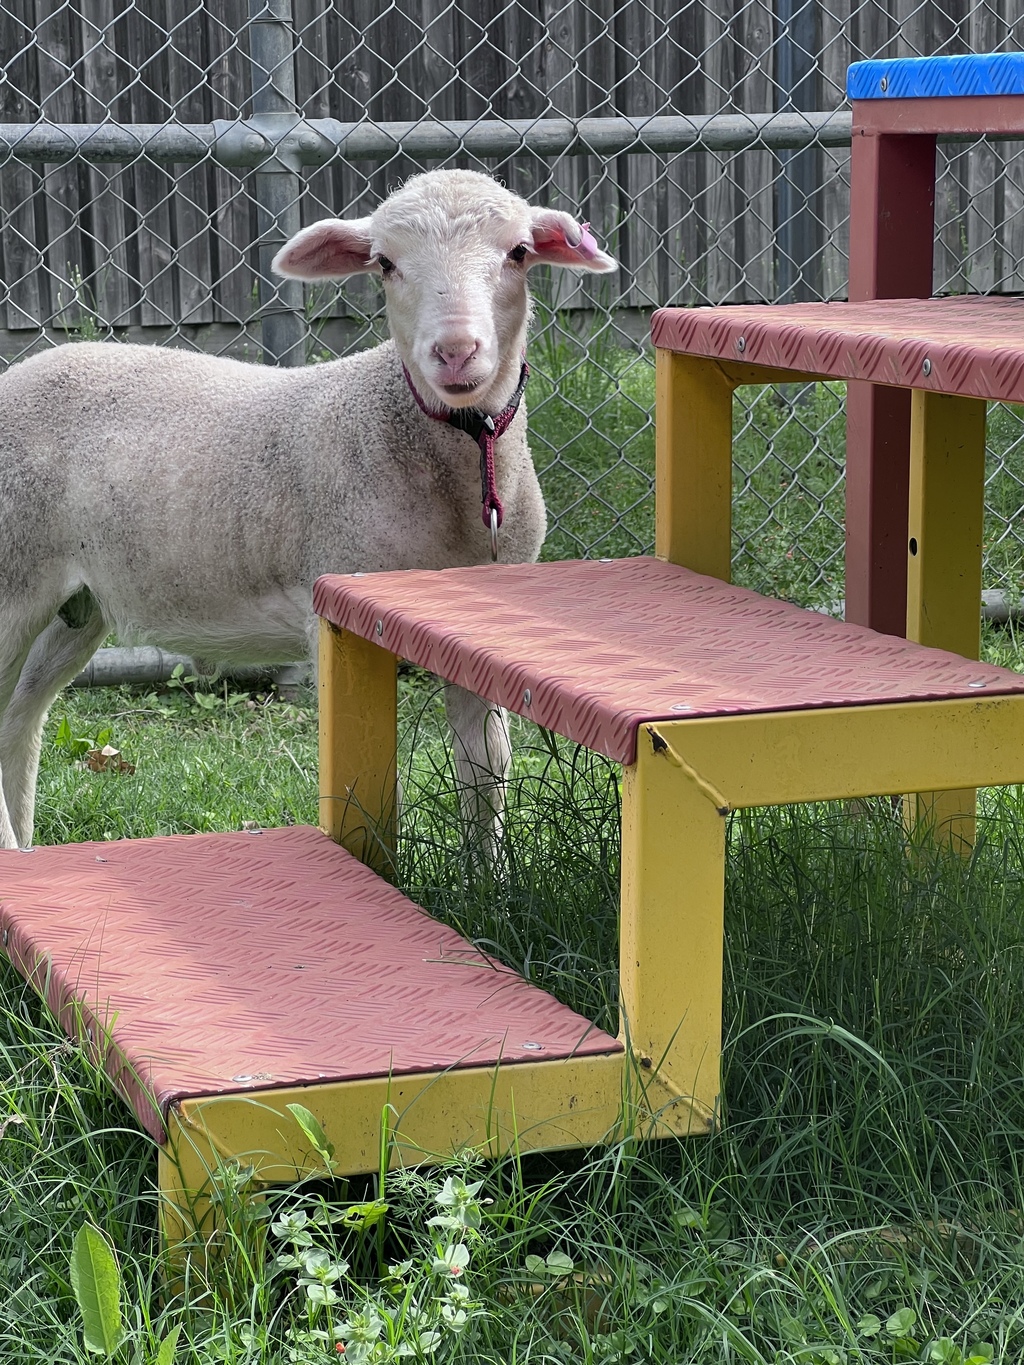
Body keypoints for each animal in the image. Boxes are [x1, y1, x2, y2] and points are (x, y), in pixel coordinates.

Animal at [0, 169, 617, 852]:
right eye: (385, 263)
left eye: (518, 252)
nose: (455, 352)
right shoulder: (339, 612)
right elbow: (369, 775)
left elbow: (486, 773)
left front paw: (488, 874)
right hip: (10, 577)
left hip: (73, 605)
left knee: (20, 715)